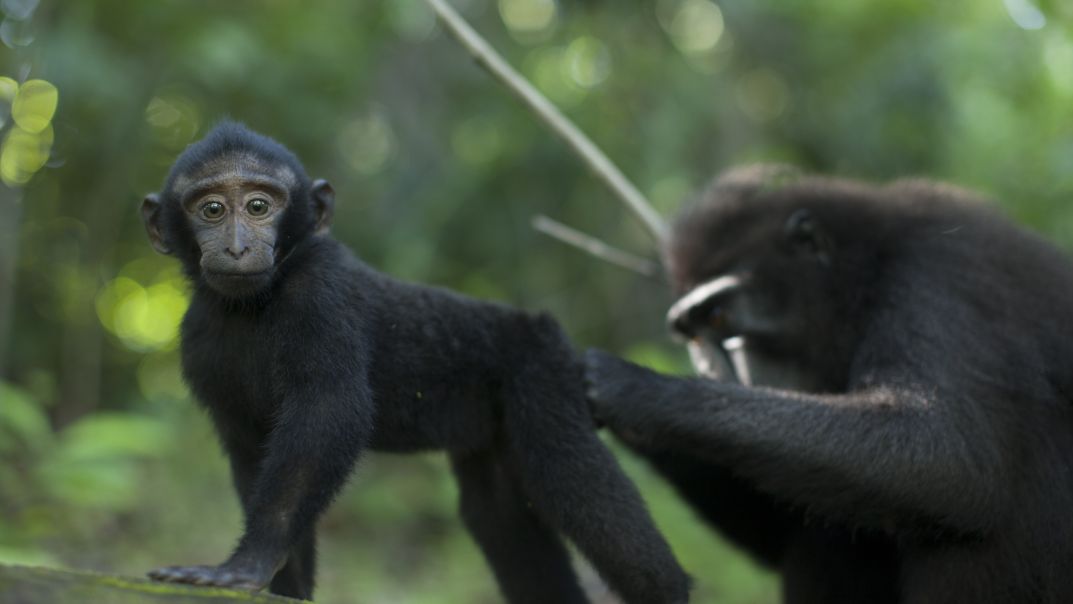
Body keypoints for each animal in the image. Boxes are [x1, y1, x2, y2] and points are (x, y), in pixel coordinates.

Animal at [140, 122, 691, 603]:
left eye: (259, 205)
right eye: (212, 209)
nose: (237, 246)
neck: (254, 305)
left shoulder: (321, 292)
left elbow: (327, 413)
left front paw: (247, 565)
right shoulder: (197, 341)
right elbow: (253, 449)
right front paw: (284, 584)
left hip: (542, 368)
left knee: (566, 467)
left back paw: (666, 588)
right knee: (498, 511)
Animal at [584, 166, 1073, 603]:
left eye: (719, 317)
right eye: (691, 334)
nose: (711, 367)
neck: (868, 271)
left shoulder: (939, 272)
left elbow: (946, 451)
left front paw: (636, 388)